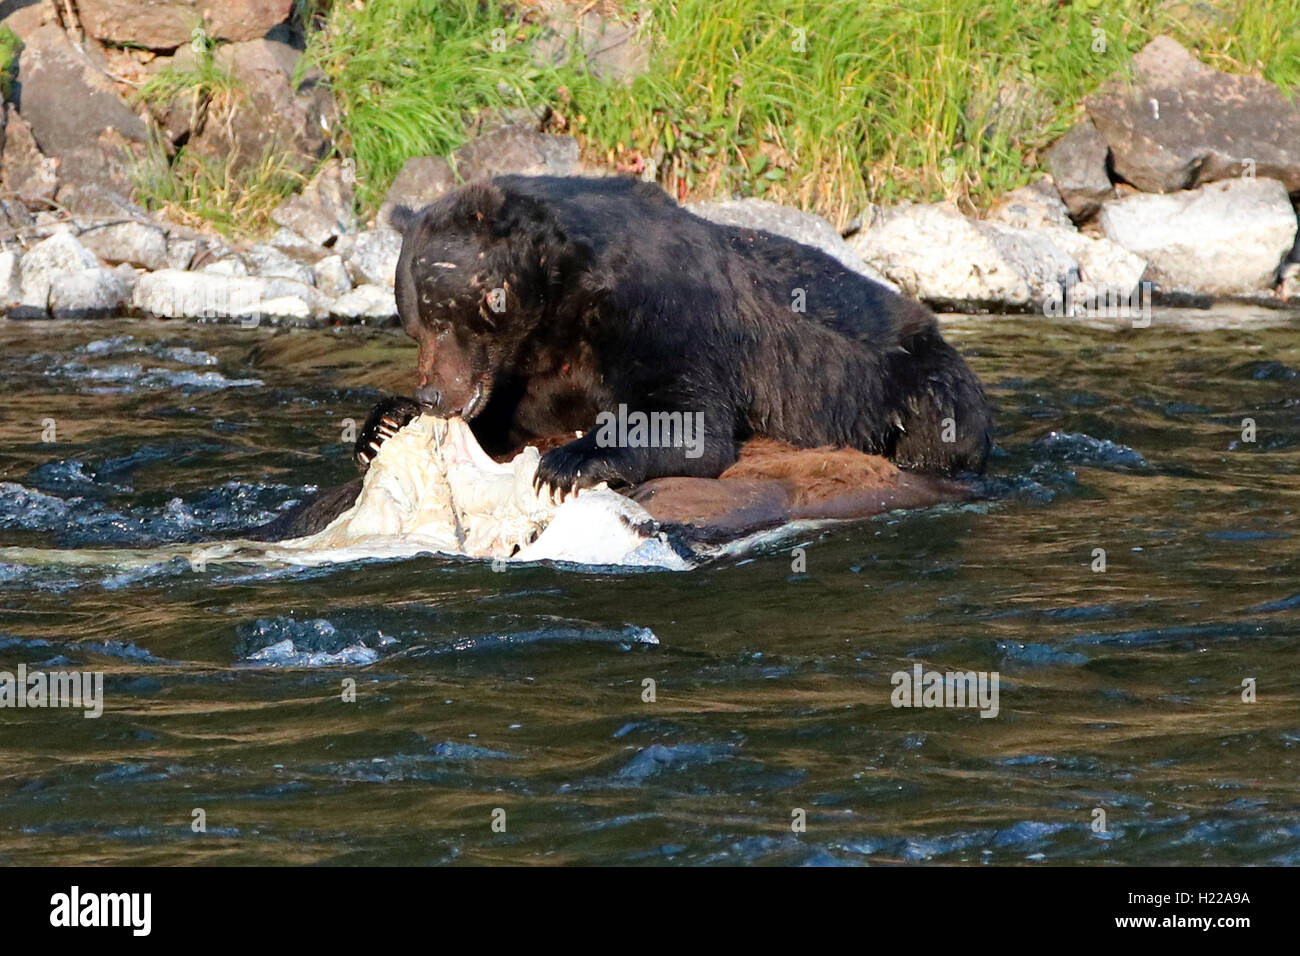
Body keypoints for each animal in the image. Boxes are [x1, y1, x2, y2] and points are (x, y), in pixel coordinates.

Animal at [357, 174, 992, 494]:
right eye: (413, 323)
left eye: (449, 316)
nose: (436, 395)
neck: (560, 307)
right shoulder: (538, 367)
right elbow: (517, 419)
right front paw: (383, 423)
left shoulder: (660, 312)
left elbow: (685, 417)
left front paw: (571, 462)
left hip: (914, 378)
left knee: (938, 422)